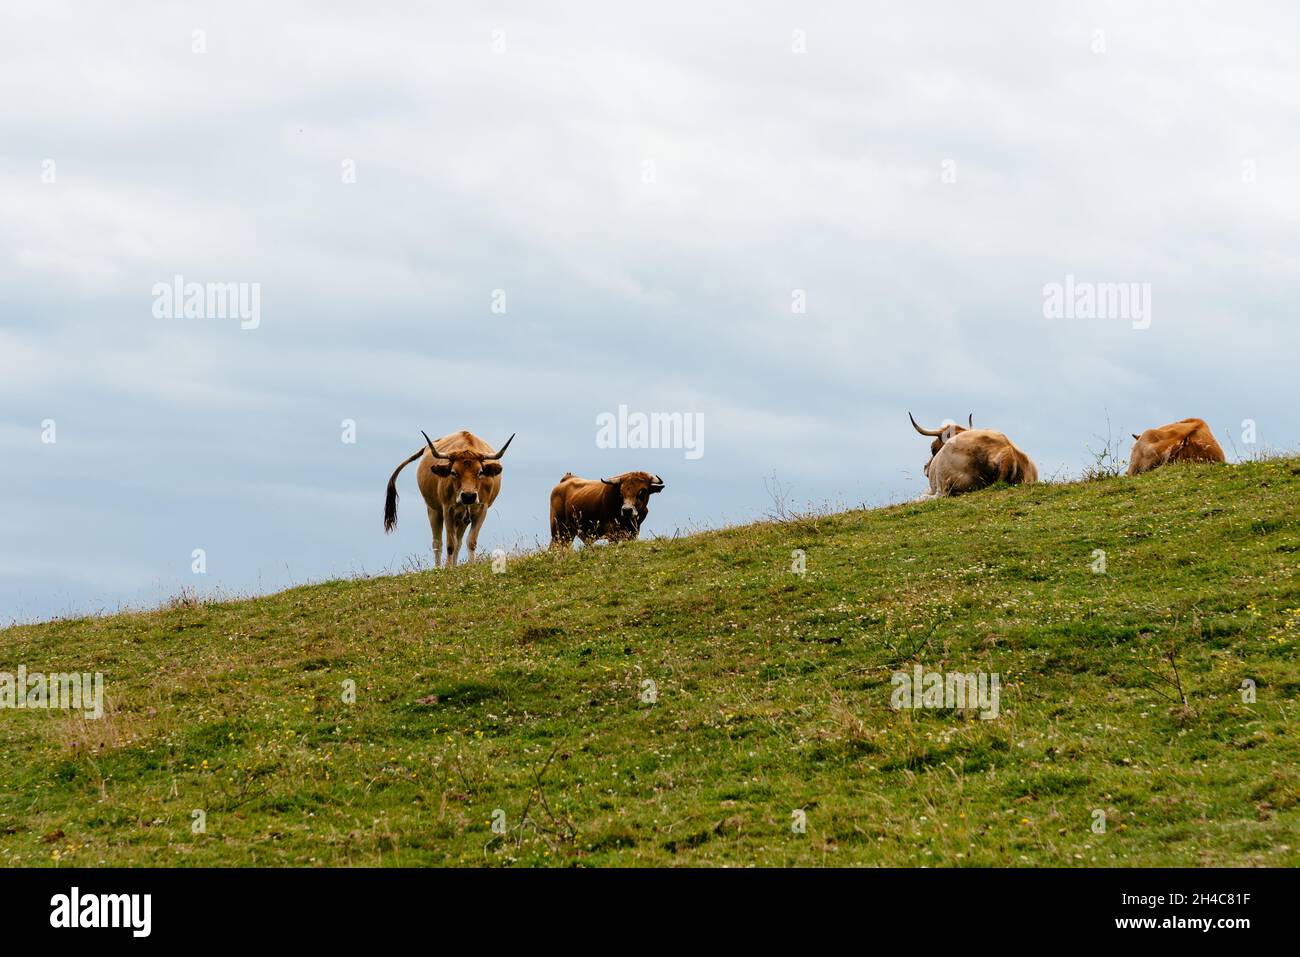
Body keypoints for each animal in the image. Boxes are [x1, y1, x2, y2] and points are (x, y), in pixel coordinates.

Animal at [383, 429, 515, 566]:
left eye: (480, 472)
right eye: (453, 472)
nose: (468, 496)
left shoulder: (482, 510)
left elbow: (471, 542)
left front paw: (470, 566)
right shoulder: (448, 510)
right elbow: (450, 544)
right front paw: (448, 567)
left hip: (462, 520)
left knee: (459, 542)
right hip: (433, 510)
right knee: (437, 542)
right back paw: (438, 567)